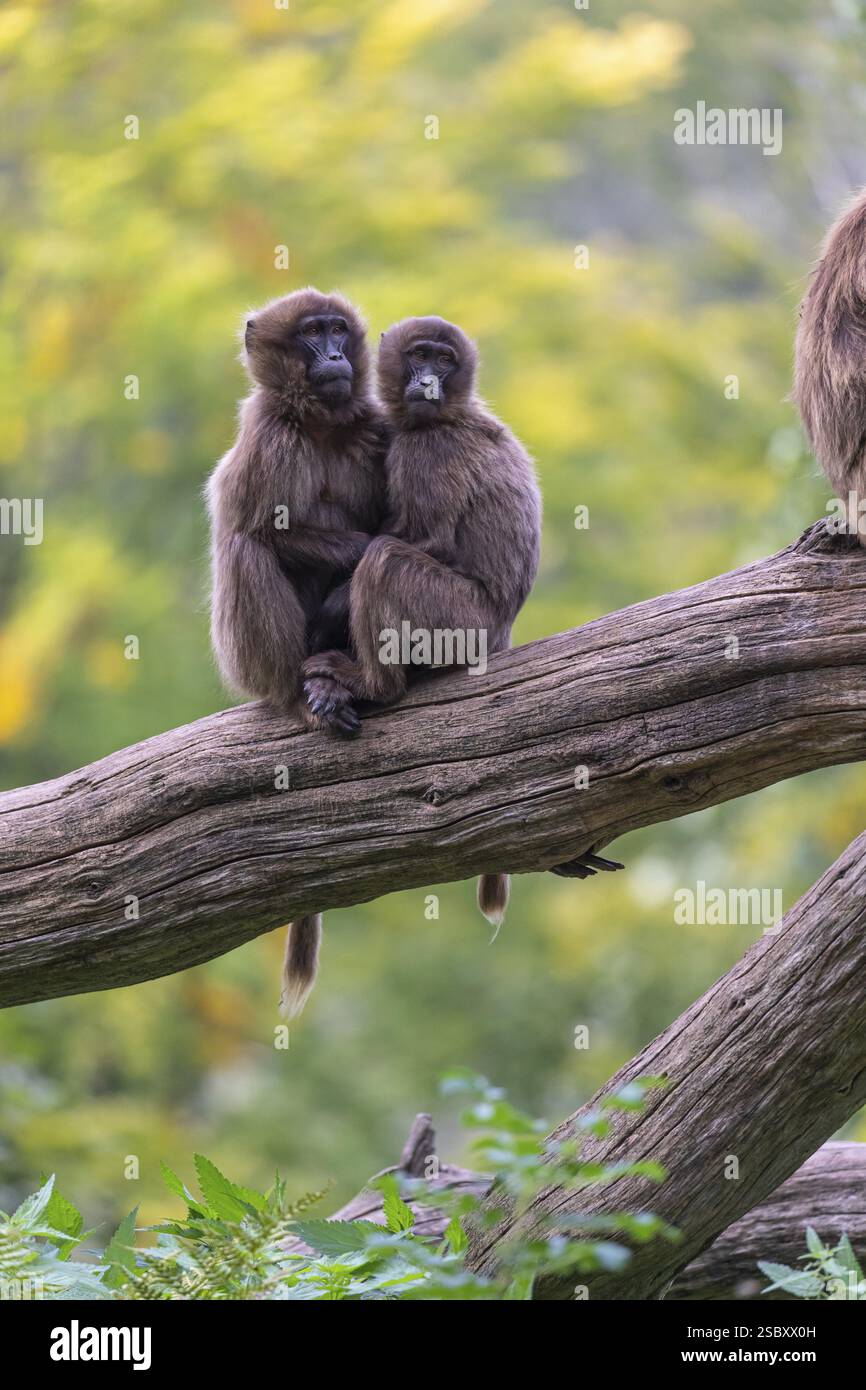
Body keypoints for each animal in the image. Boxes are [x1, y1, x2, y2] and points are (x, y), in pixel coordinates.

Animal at [301, 314, 623, 935]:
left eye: (444, 360)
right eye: (419, 355)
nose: (426, 381)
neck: (446, 414)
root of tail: (501, 632)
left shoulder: (429, 450)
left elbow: (422, 542)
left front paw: (334, 612)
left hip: (458, 619)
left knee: (386, 562)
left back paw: (372, 684)